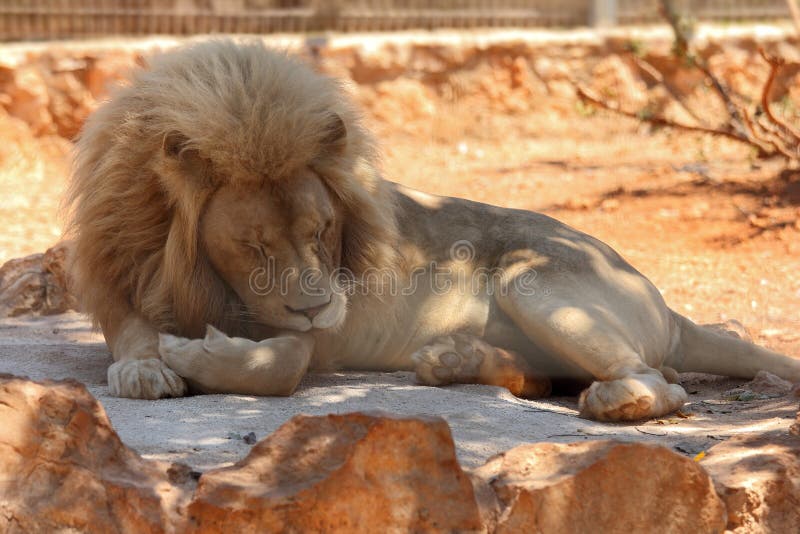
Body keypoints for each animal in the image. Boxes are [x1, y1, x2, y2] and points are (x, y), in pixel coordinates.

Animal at [66, 40, 800, 421]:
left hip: (532, 281)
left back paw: (610, 399)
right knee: (566, 378)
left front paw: (187, 353)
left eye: (325, 229)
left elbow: (281, 364)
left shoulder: (314, 330)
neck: (179, 257)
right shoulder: (119, 279)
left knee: (663, 383)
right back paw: (454, 360)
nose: (318, 305)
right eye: (253, 246)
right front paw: (143, 367)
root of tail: (666, 305)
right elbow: (133, 334)